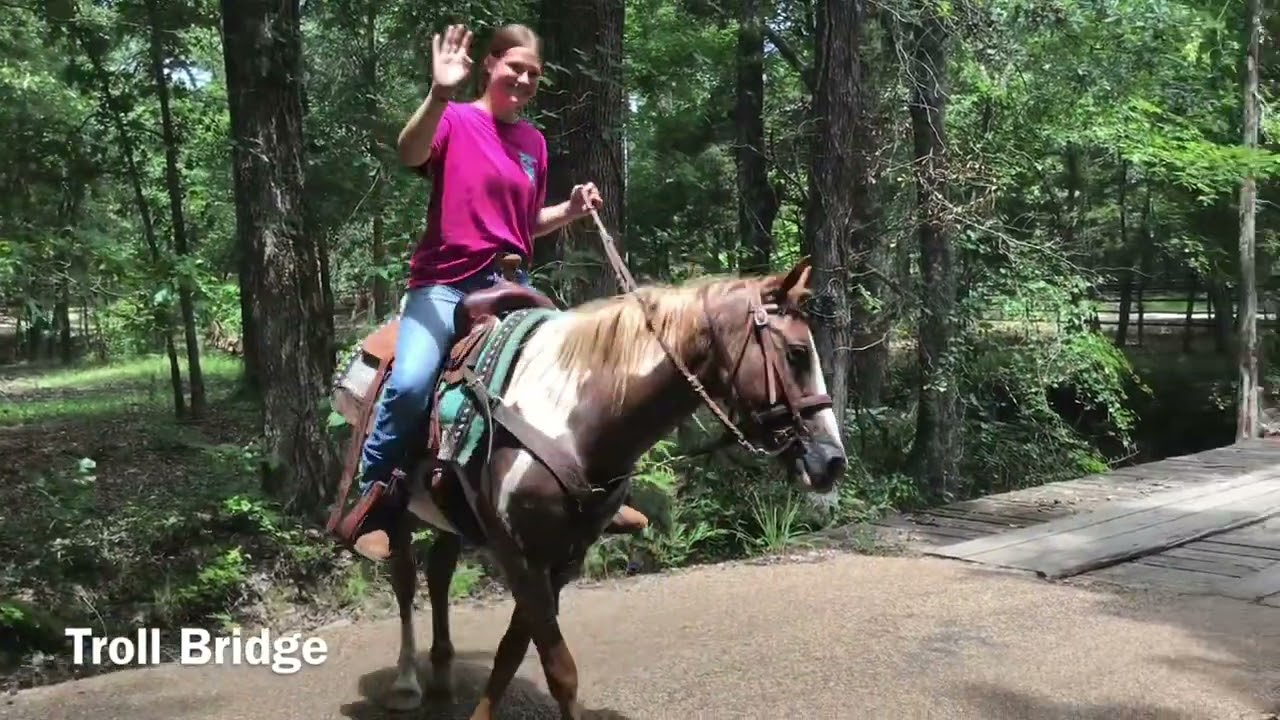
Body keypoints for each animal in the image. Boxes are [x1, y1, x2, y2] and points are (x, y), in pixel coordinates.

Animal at [370, 257, 847, 720]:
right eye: (797, 354)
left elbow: (514, 652)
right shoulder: (519, 555)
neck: (572, 421)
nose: (833, 461)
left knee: (438, 573)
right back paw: (405, 684)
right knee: (404, 580)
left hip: (447, 516)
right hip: (397, 509)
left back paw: (441, 678)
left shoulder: (564, 557)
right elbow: (558, 667)